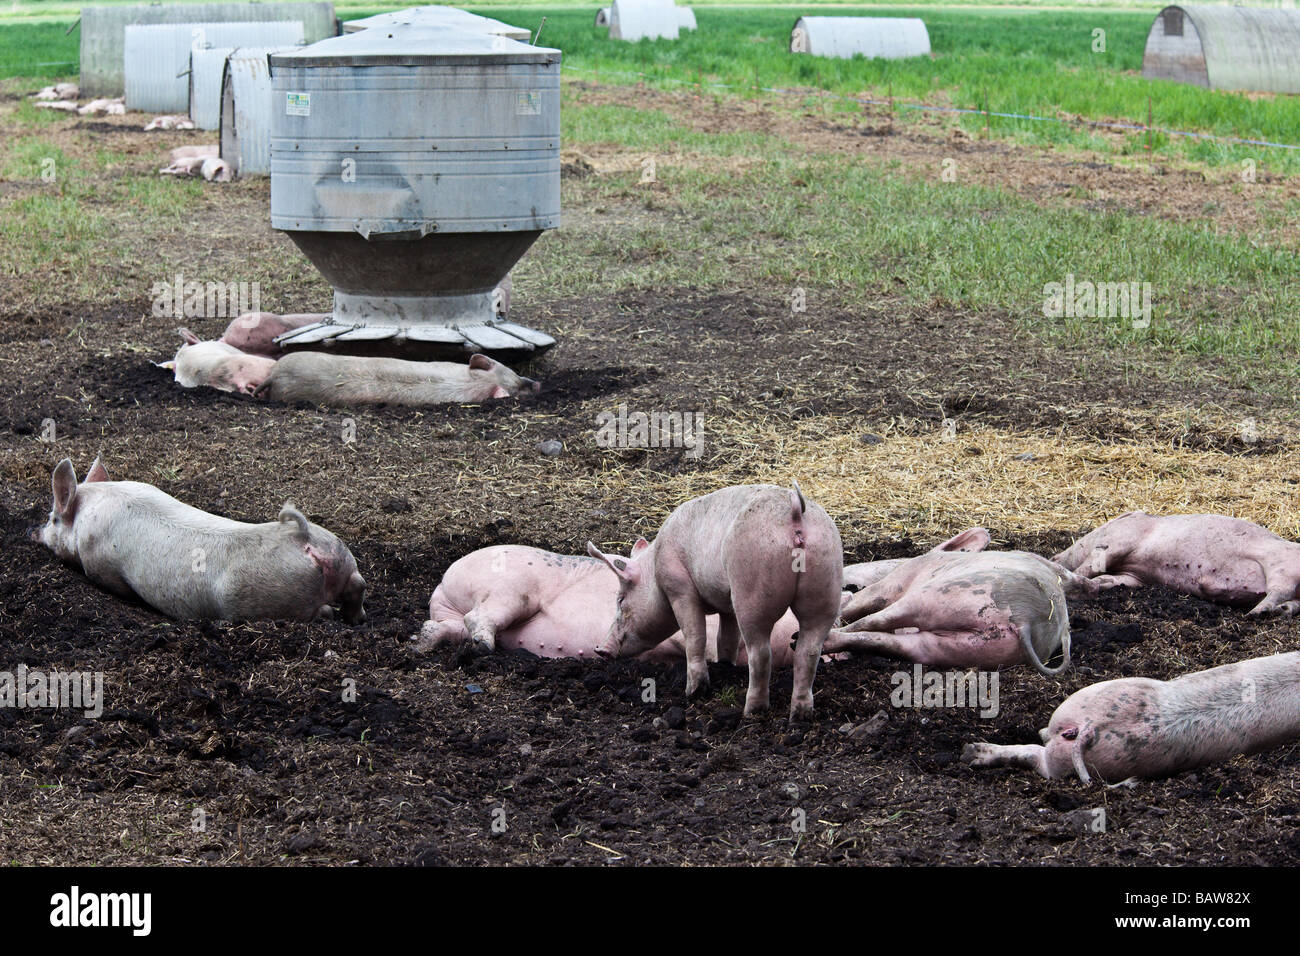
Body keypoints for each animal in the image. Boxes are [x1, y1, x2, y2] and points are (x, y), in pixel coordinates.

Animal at [35, 458, 366, 623]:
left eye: (53, 519)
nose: (35, 533)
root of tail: (303, 537)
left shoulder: (99, 566)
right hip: (343, 557)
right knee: (358, 585)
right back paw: (357, 618)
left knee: (322, 612)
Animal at [587, 482, 844, 720]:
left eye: (620, 600)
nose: (599, 649)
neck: (654, 571)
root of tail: (796, 512)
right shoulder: (727, 605)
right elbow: (725, 638)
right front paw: (725, 665)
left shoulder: (679, 588)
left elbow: (695, 635)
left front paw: (693, 692)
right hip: (826, 580)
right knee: (808, 651)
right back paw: (799, 715)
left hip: (752, 590)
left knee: (761, 653)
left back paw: (751, 711)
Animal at [828, 529, 1097, 675]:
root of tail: (1025, 620)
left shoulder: (898, 580)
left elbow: (865, 600)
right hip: (957, 648)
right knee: (886, 640)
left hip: (939, 595)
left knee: (873, 621)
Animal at [1053, 511, 1300, 616]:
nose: (1054, 557)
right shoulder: (1134, 576)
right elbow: (1111, 579)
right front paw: (1097, 586)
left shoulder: (1119, 540)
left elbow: (1091, 567)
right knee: (1293, 602)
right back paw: (1280, 612)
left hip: (1281, 568)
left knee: (1279, 591)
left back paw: (1256, 613)